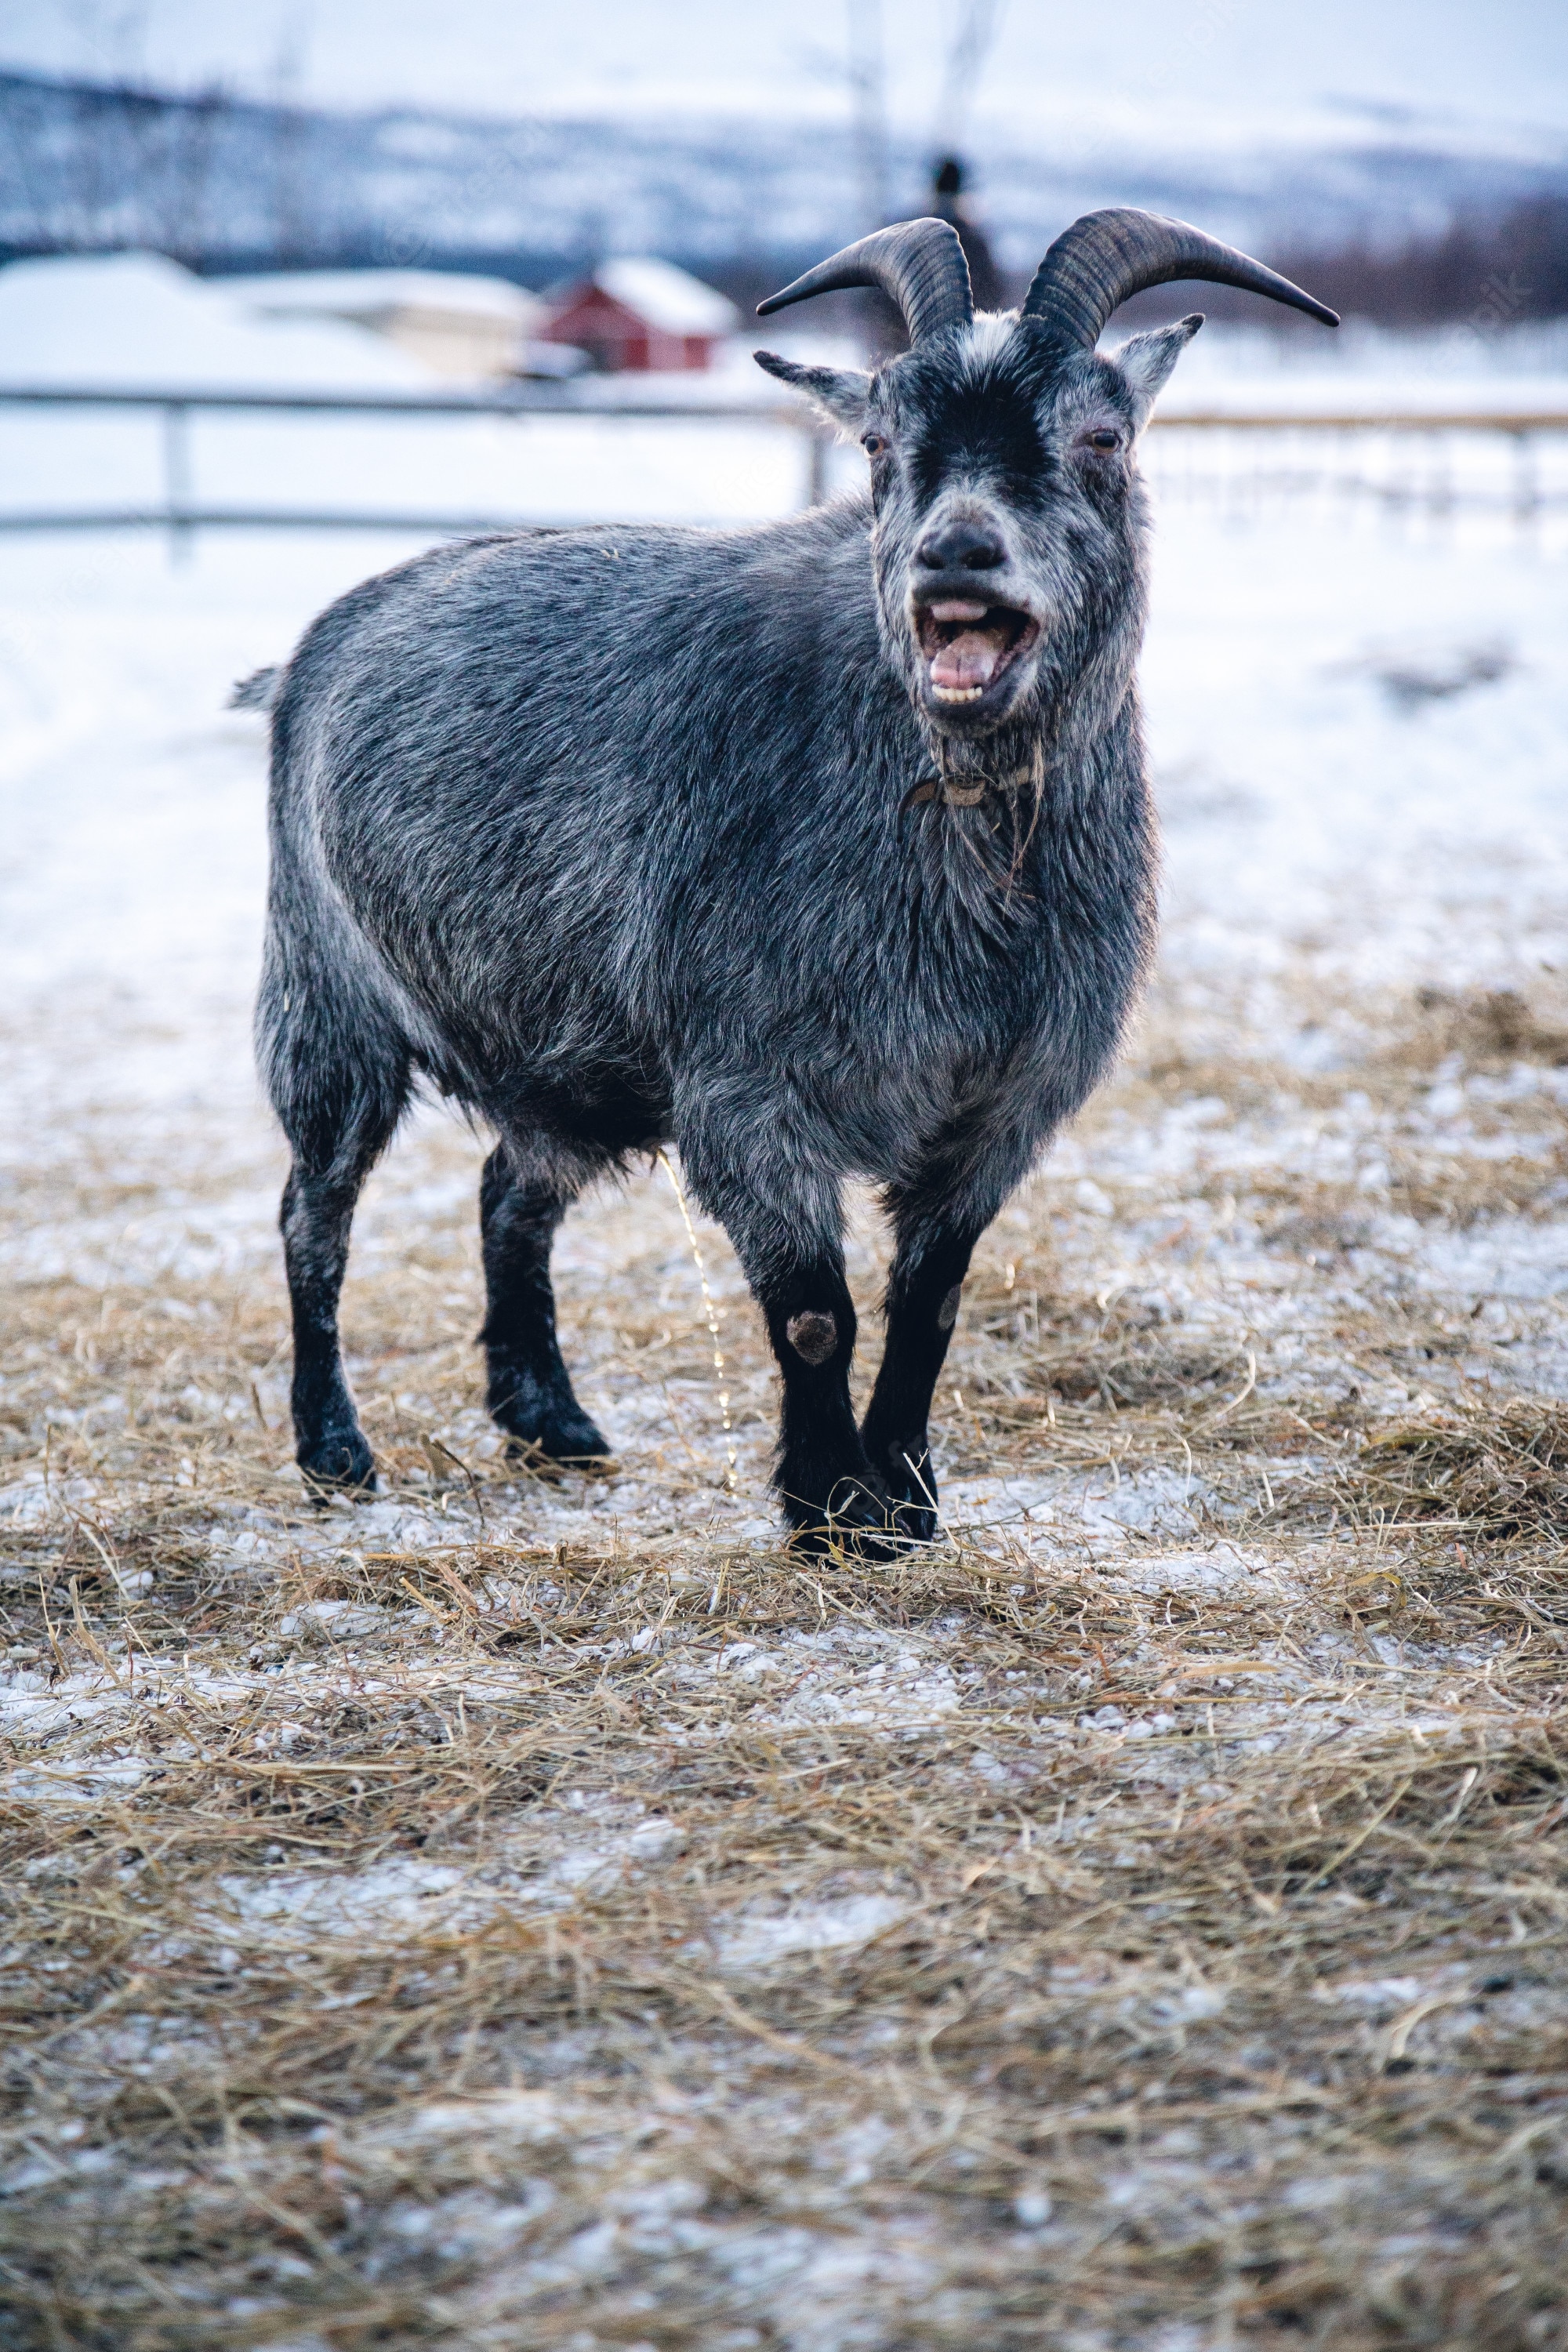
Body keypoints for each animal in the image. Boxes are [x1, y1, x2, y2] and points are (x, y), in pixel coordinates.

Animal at [253, 208, 1334, 1553]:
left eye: (1102, 435)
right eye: (878, 442)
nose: (956, 554)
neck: (969, 880)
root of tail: (321, 641)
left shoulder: (1001, 1106)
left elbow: (929, 1306)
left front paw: (908, 1503)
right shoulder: (750, 1091)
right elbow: (817, 1312)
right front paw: (829, 1511)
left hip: (561, 1050)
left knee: (511, 1192)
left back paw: (550, 1420)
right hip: (325, 1006)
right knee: (314, 1218)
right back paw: (335, 1450)